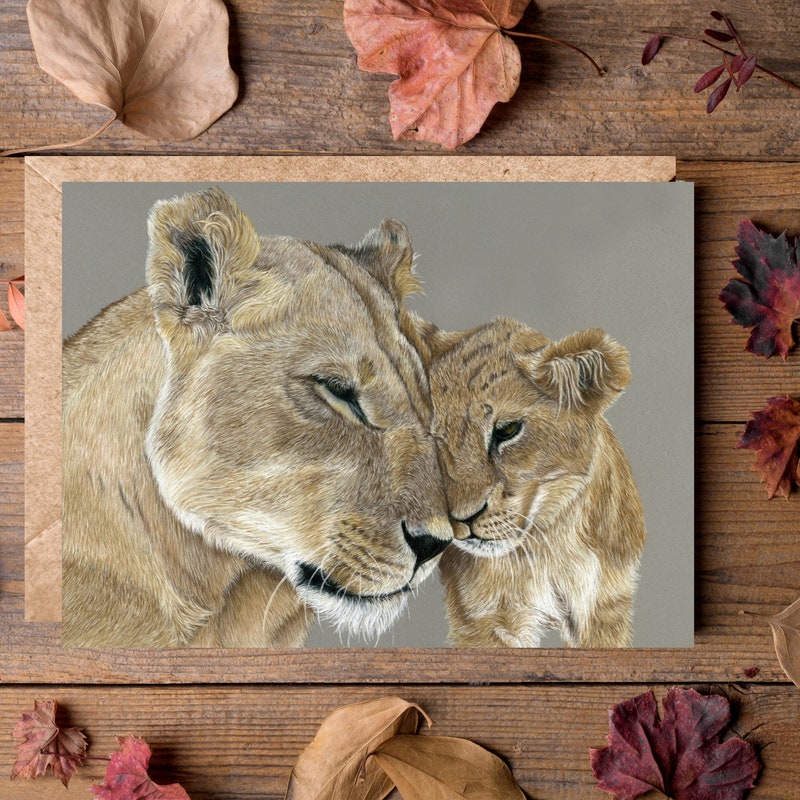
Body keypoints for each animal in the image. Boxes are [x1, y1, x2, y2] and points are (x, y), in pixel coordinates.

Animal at [422, 317, 646, 648]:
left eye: (507, 430)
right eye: (434, 438)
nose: (461, 519)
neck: (548, 544)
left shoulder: (606, 606)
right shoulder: (481, 618)